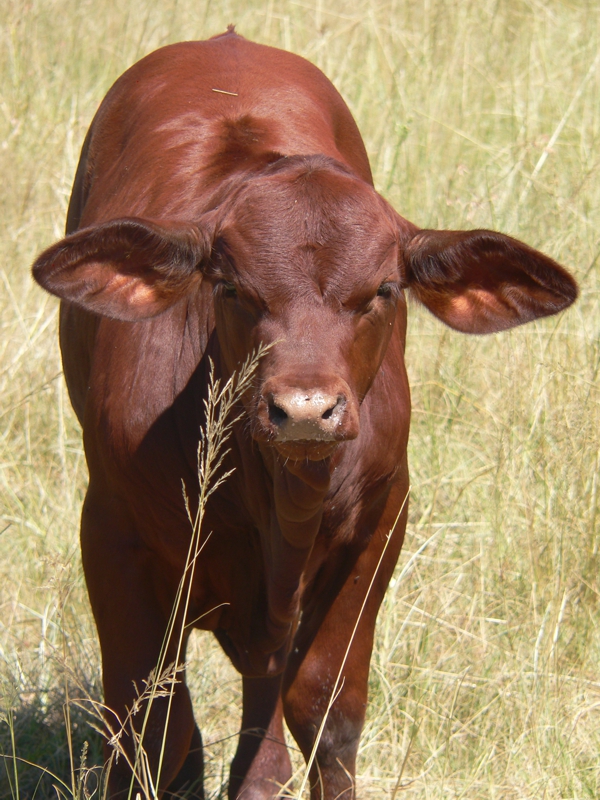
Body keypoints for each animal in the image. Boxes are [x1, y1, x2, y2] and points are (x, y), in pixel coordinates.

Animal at [32, 27, 577, 800]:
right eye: (231, 287)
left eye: (383, 289)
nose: (304, 411)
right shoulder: (111, 528)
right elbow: (149, 725)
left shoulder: (381, 521)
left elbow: (326, 708)